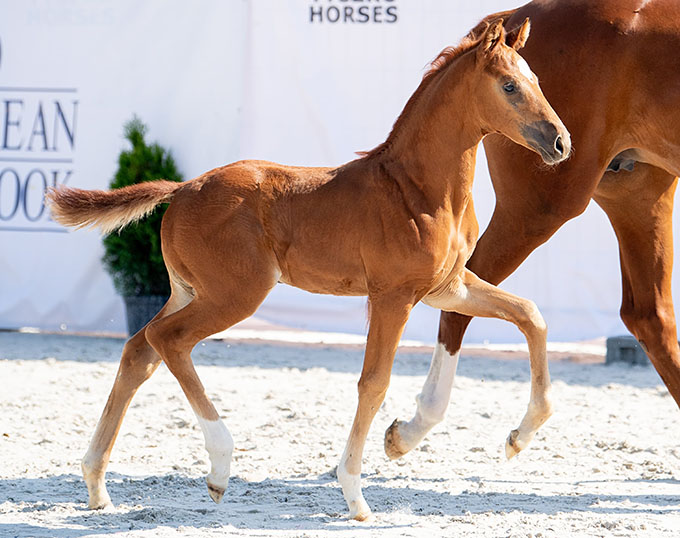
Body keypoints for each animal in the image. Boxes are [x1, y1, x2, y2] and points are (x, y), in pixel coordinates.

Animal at [47, 19, 570, 520]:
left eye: (537, 80)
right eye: (509, 86)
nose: (560, 142)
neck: (417, 189)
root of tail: (183, 188)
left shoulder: (448, 286)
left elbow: (530, 314)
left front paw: (517, 438)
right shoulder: (392, 296)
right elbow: (373, 383)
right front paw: (355, 496)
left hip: (189, 291)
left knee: (139, 351)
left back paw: (96, 486)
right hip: (235, 295)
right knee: (167, 340)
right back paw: (219, 466)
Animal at [385, 0, 680, 462]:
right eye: (510, 86)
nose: (560, 141)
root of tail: (511, 14)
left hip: (639, 192)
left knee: (651, 315)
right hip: (542, 207)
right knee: (461, 297)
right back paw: (422, 426)